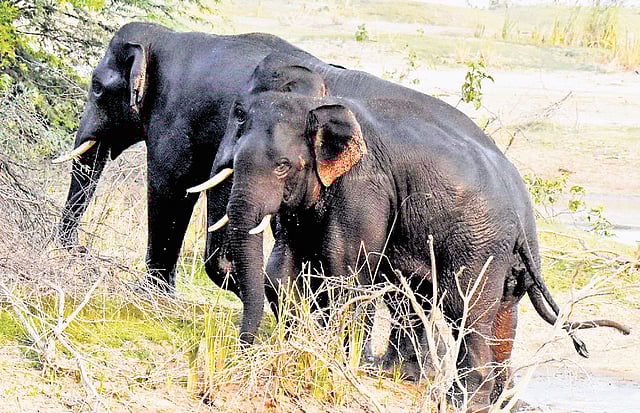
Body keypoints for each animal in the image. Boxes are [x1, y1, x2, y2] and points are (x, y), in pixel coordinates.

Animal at [195, 83, 630, 411]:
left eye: (283, 166)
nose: (243, 352)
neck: (317, 107)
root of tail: (521, 214)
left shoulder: (364, 189)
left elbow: (345, 273)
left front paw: (336, 364)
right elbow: (281, 268)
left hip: (480, 241)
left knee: (465, 309)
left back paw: (462, 400)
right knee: (474, 307)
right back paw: (477, 395)